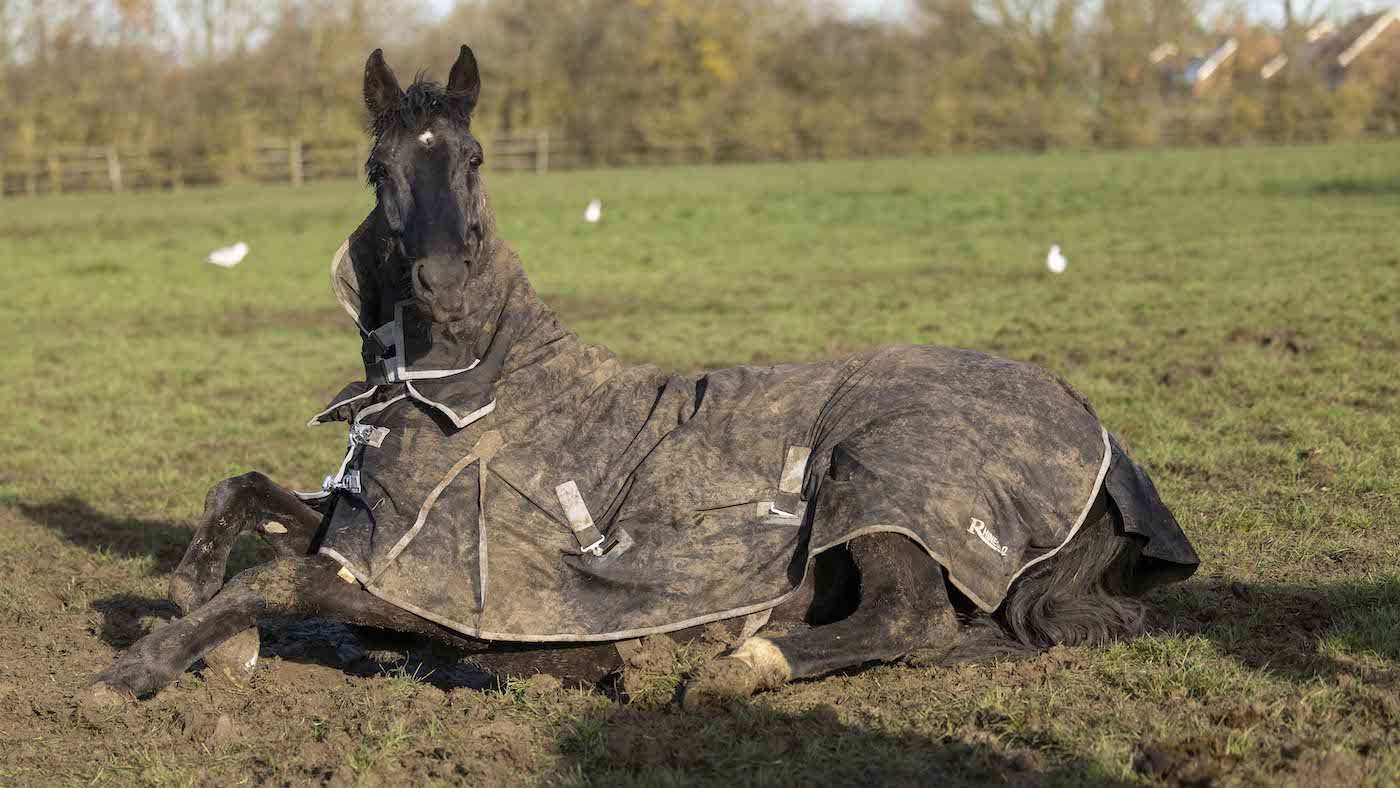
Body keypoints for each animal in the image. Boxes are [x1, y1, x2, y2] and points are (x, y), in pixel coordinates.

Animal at [86, 46, 1199, 709]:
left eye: (476, 158)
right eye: (377, 168)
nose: (445, 284)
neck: (472, 392)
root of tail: (1101, 442)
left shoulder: (444, 584)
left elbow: (272, 576)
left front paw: (141, 665)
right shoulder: (370, 535)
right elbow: (241, 495)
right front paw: (193, 608)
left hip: (879, 479)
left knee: (909, 619)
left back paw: (729, 664)